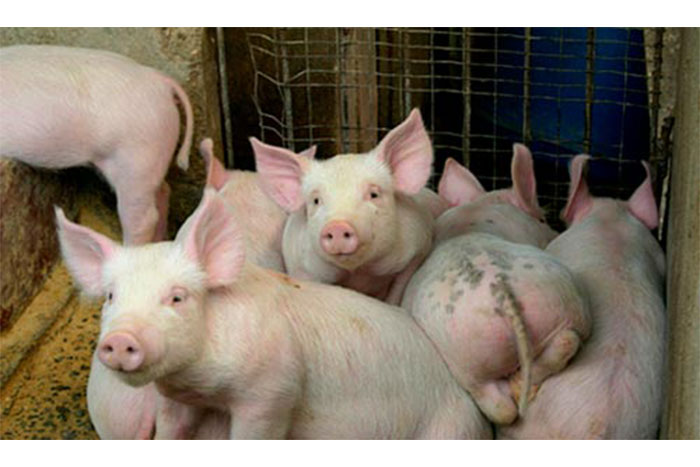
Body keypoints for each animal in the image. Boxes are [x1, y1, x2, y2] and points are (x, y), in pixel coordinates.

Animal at [57, 189, 492, 440]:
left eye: (178, 298)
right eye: (111, 296)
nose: (120, 338)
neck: (200, 384)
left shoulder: (272, 387)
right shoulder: (175, 399)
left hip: (448, 430)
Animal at [253, 108, 437, 304]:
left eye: (374, 194)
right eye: (316, 200)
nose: (337, 226)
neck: (358, 272)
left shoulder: (417, 251)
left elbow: (397, 292)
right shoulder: (302, 268)